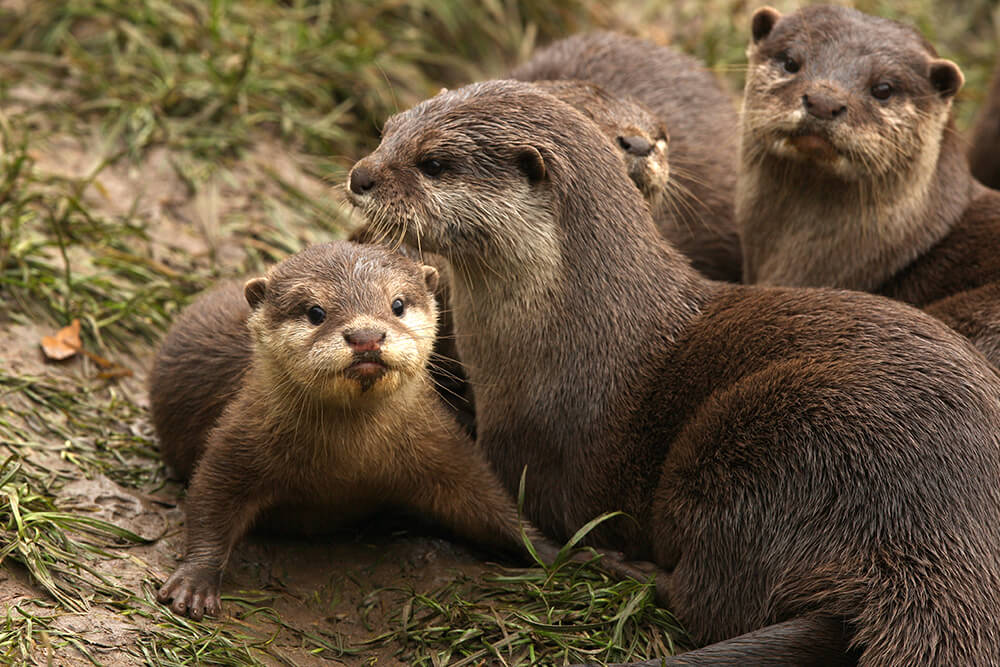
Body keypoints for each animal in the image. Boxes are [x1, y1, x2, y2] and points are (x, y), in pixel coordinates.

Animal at [151, 242, 566, 620]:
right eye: (315, 312)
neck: (348, 462)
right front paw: (194, 582)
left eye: (397, 304)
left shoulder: (442, 445)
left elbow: (489, 501)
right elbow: (210, 500)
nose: (366, 335)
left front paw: (556, 552)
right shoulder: (240, 435)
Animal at [347, 79, 1000, 664]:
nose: (360, 176)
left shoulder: (532, 449)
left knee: (713, 597)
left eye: (433, 162)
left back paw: (623, 568)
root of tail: (935, 534)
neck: (572, 328)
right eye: (386, 131)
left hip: (767, 449)